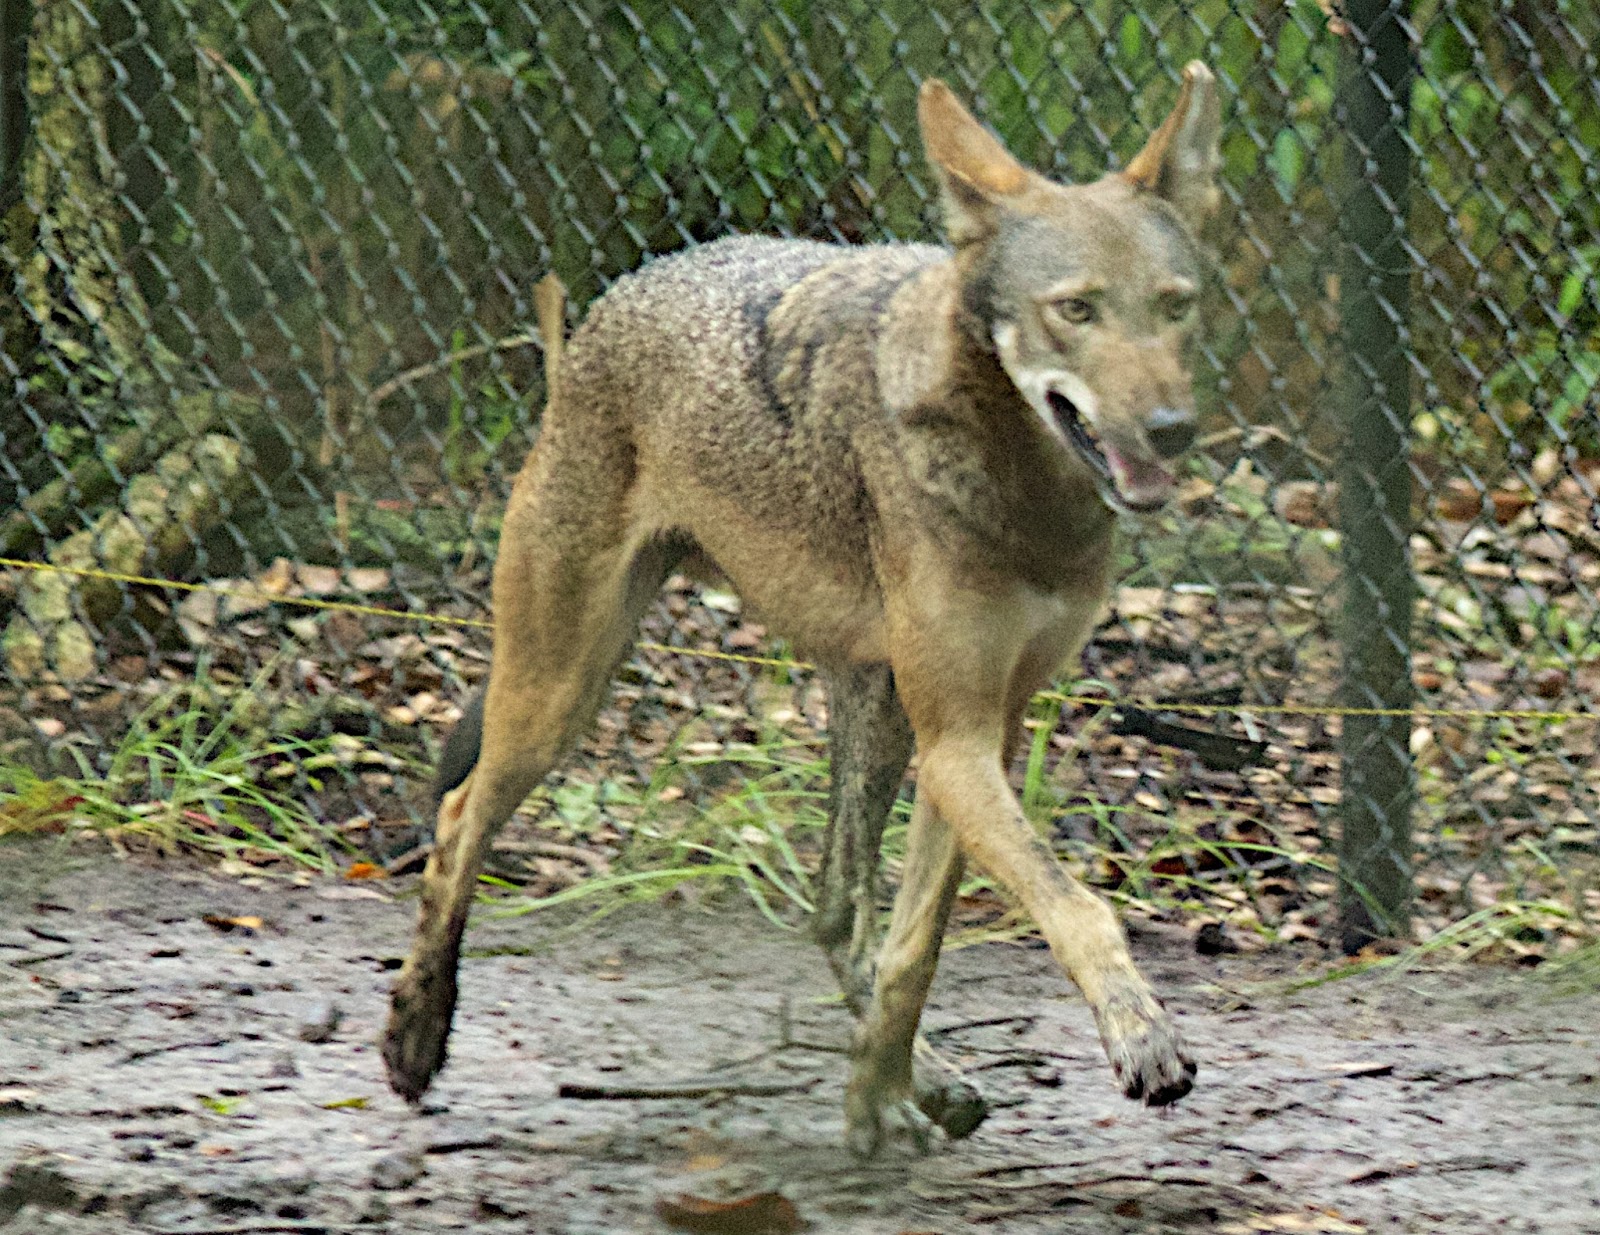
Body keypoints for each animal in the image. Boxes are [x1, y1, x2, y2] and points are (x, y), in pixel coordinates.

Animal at [383, 63, 1221, 1157]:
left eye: (1174, 307)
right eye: (1074, 310)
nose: (1172, 427)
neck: (1027, 503)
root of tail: (609, 304)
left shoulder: (977, 738)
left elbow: (917, 949)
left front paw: (878, 1097)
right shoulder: (957, 739)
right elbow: (1079, 908)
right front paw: (1139, 1036)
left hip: (872, 715)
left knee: (833, 912)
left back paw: (919, 1079)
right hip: (560, 696)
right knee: (458, 817)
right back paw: (415, 1032)